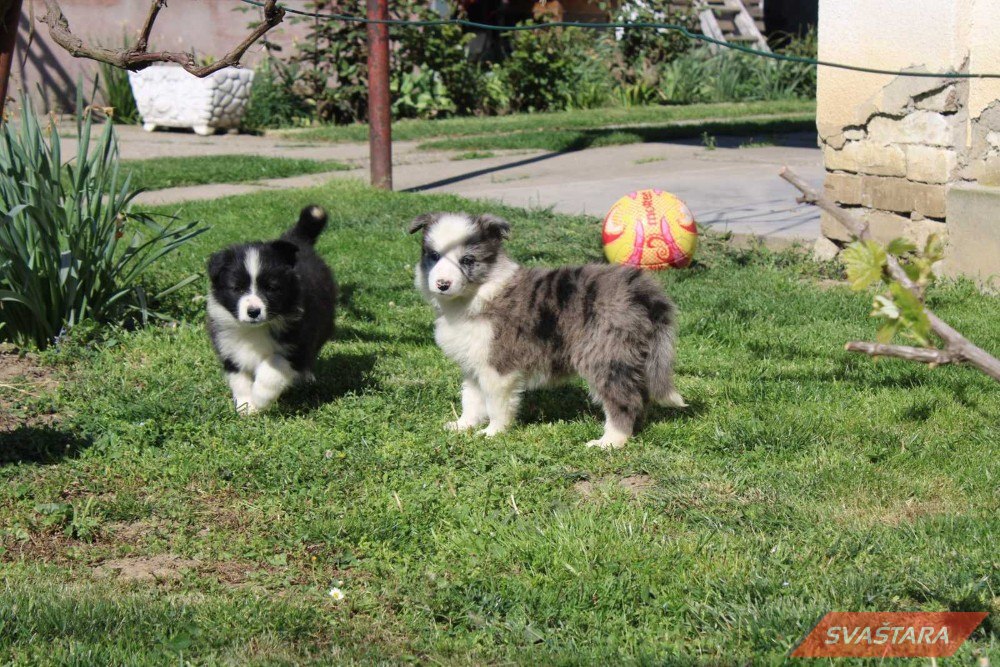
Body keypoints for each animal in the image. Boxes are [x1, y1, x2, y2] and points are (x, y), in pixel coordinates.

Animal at [209, 206, 338, 414]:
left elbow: (273, 364)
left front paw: (260, 397)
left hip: (322, 323)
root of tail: (297, 241)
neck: (255, 330)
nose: (253, 311)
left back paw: (305, 378)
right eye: (237, 288)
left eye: (270, 287)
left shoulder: (297, 341)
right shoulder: (228, 347)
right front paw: (246, 406)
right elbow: (239, 378)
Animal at [410, 213, 684, 448]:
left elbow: (496, 403)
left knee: (623, 398)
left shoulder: (498, 365)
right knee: (639, 394)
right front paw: (463, 425)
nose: (442, 284)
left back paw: (610, 441)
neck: (478, 294)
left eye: (467, 260)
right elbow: (471, 398)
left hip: (604, 354)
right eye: (434, 256)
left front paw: (492, 433)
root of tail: (643, 291)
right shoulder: (473, 363)